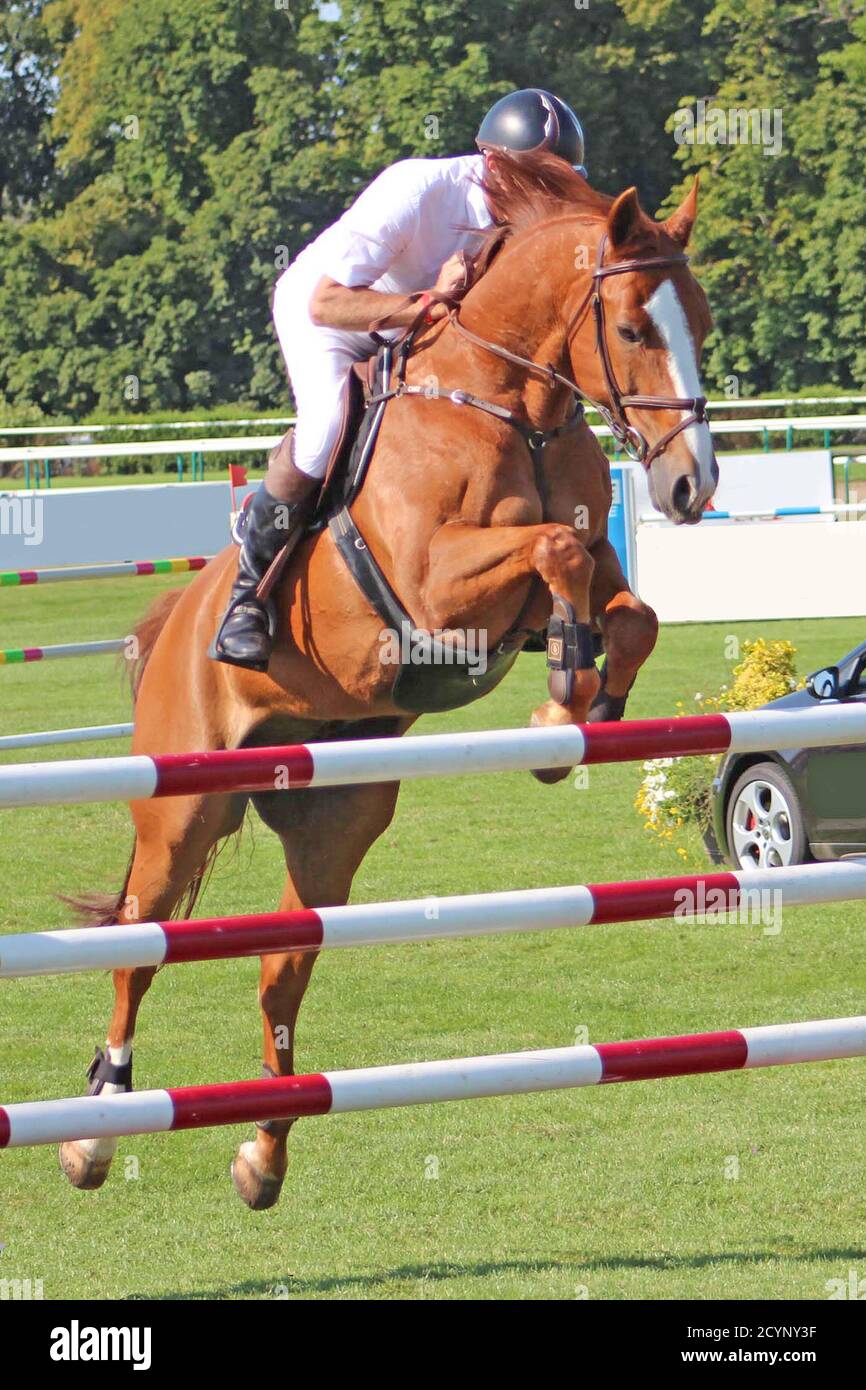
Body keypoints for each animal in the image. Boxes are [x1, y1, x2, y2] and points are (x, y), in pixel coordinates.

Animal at [59, 152, 717, 1208]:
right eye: (630, 330)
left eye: (700, 320)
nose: (691, 489)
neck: (511, 406)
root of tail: (175, 627)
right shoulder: (433, 589)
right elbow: (555, 549)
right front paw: (563, 696)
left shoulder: (563, 572)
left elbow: (622, 603)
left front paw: (579, 705)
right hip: (179, 809)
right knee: (137, 947)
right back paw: (96, 1130)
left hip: (336, 818)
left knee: (282, 970)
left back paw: (263, 1152)